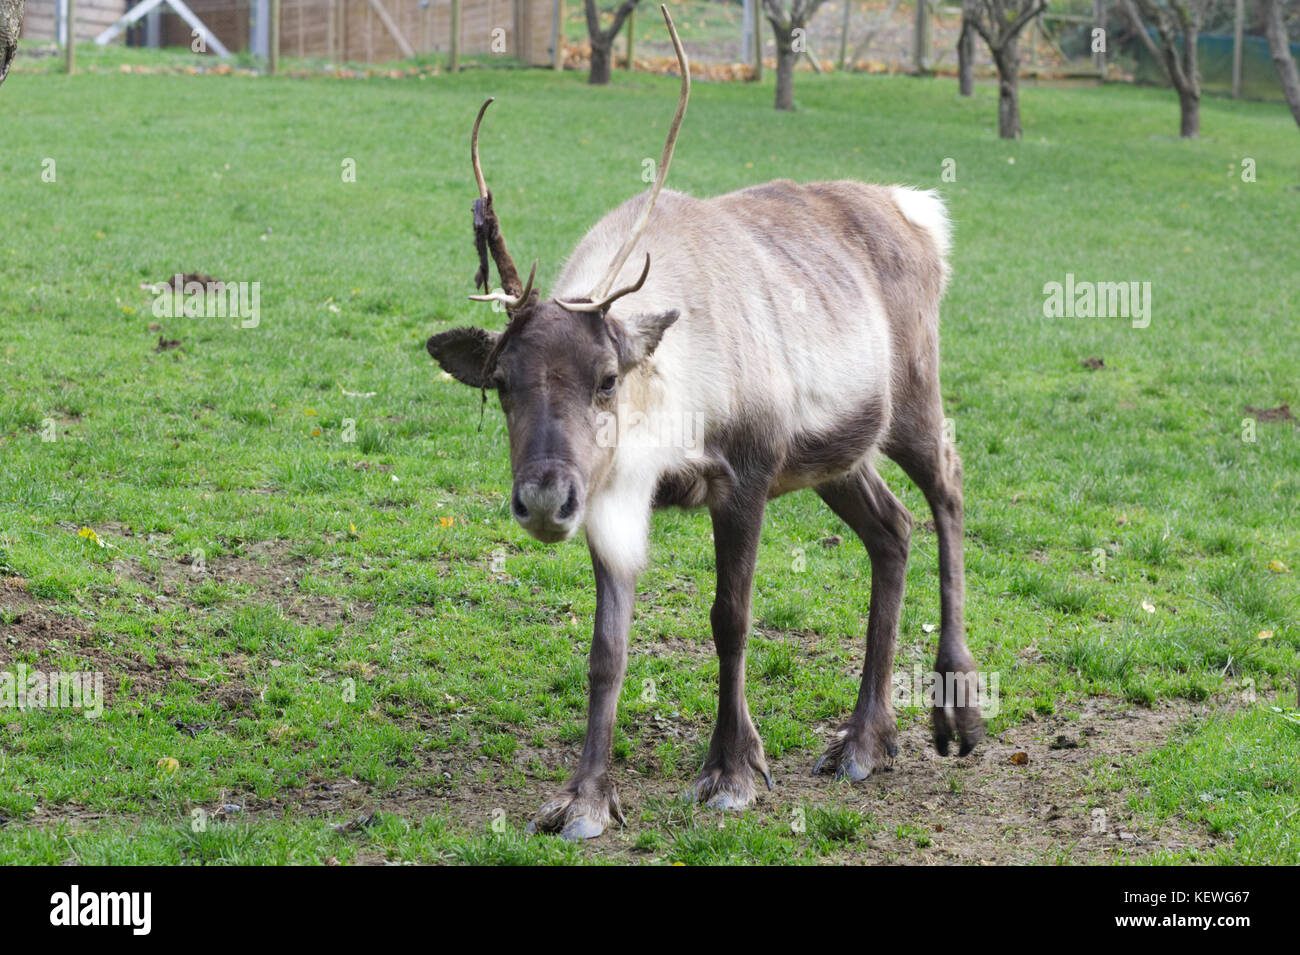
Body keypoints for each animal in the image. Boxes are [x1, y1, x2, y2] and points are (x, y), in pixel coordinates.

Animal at [426, 5, 984, 840]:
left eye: (607, 378)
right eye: (500, 383)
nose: (545, 498)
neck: (668, 409)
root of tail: (919, 214)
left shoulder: (745, 472)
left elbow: (731, 617)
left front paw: (733, 770)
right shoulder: (614, 492)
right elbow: (607, 646)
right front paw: (585, 796)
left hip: (913, 400)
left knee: (947, 487)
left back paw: (957, 706)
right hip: (835, 456)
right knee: (892, 528)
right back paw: (865, 739)